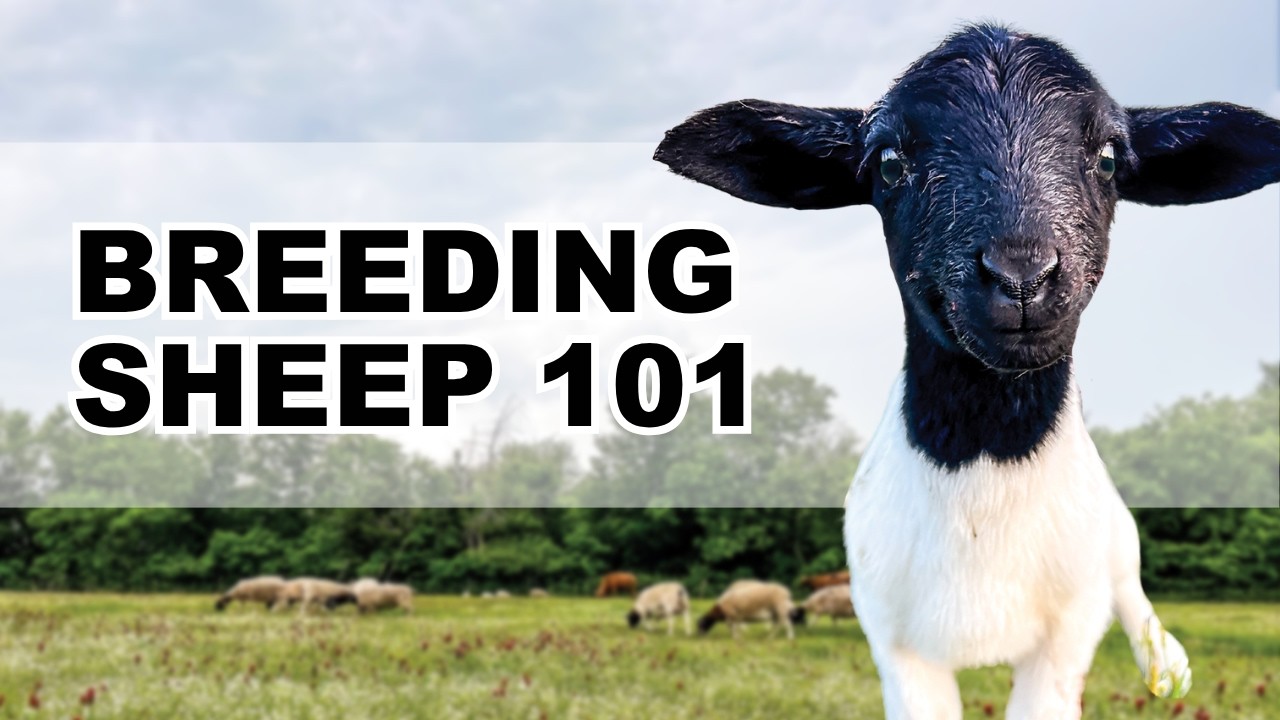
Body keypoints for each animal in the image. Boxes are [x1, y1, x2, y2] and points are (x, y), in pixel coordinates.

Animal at [655, 23, 1280, 717]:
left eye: (1109, 159)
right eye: (890, 165)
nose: (1022, 277)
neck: (984, 471)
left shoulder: (1063, 643)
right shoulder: (897, 646)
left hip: (1112, 541)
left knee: (1131, 587)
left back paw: (1166, 666)